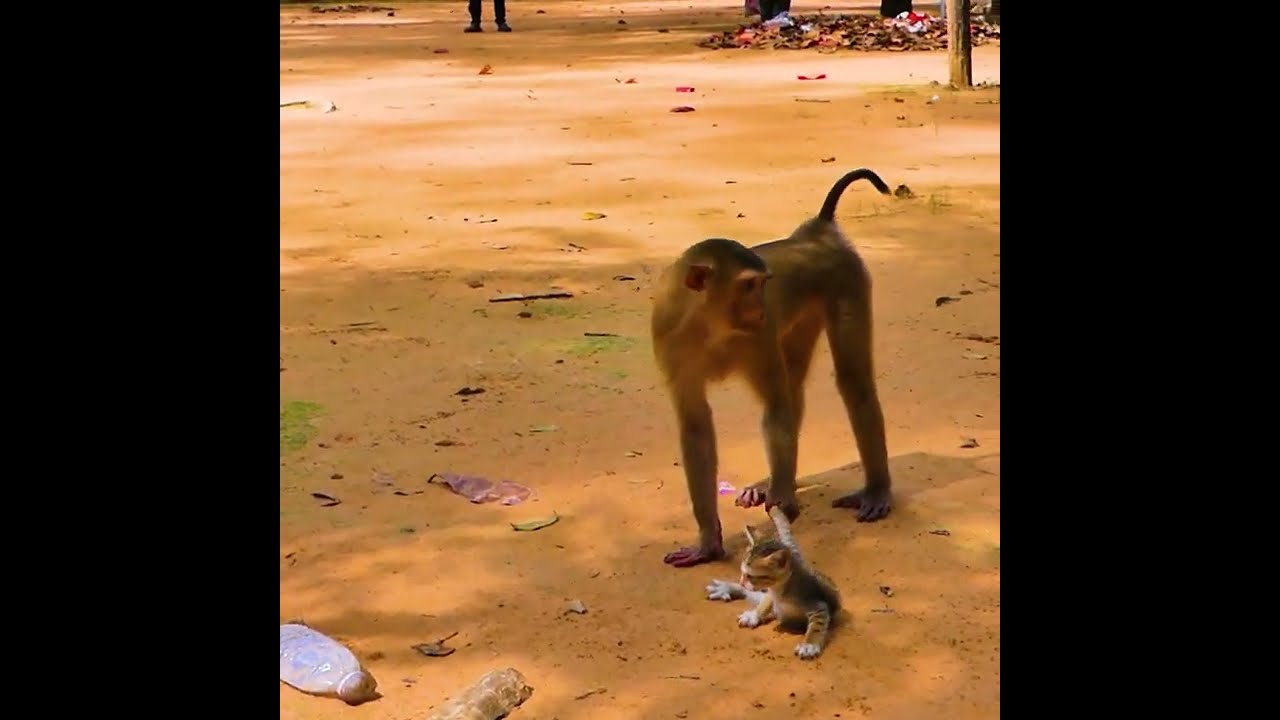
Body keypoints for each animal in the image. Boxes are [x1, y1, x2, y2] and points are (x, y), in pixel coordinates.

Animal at [650, 168, 895, 568]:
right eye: (748, 285)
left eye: (761, 284)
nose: (760, 307)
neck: (710, 326)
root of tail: (814, 234)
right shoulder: (670, 339)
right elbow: (696, 425)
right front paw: (708, 540)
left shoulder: (758, 335)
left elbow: (776, 405)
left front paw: (781, 499)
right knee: (795, 383)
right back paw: (770, 483)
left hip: (847, 280)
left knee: (851, 380)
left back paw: (875, 488)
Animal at [706, 506, 842, 660]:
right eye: (742, 572)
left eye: (750, 576)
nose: (741, 581)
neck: (780, 588)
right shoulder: (771, 593)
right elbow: (765, 602)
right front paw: (755, 614)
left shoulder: (817, 604)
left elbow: (817, 624)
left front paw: (809, 644)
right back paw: (727, 588)